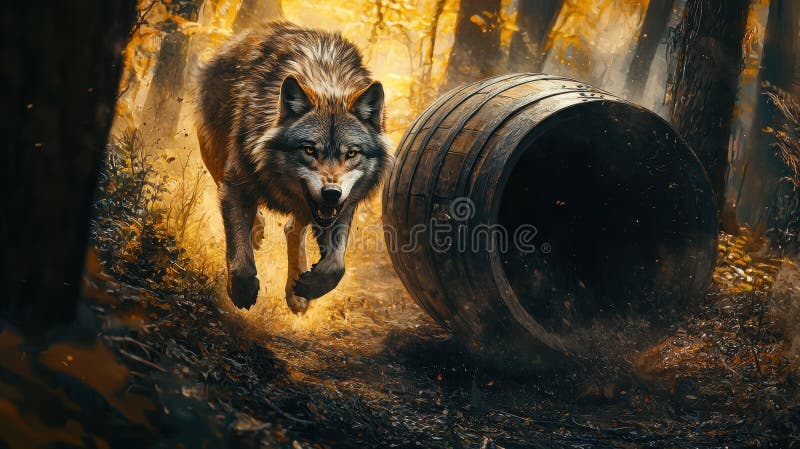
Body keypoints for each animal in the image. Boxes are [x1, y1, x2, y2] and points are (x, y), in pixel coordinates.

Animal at [196, 21, 392, 313]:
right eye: (309, 150)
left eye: (351, 154)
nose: (331, 193)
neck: (327, 81)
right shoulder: (235, 183)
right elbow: (238, 246)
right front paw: (242, 290)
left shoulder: (344, 205)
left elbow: (336, 266)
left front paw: (308, 286)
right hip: (215, 156)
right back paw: (258, 229)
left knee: (292, 229)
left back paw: (296, 294)